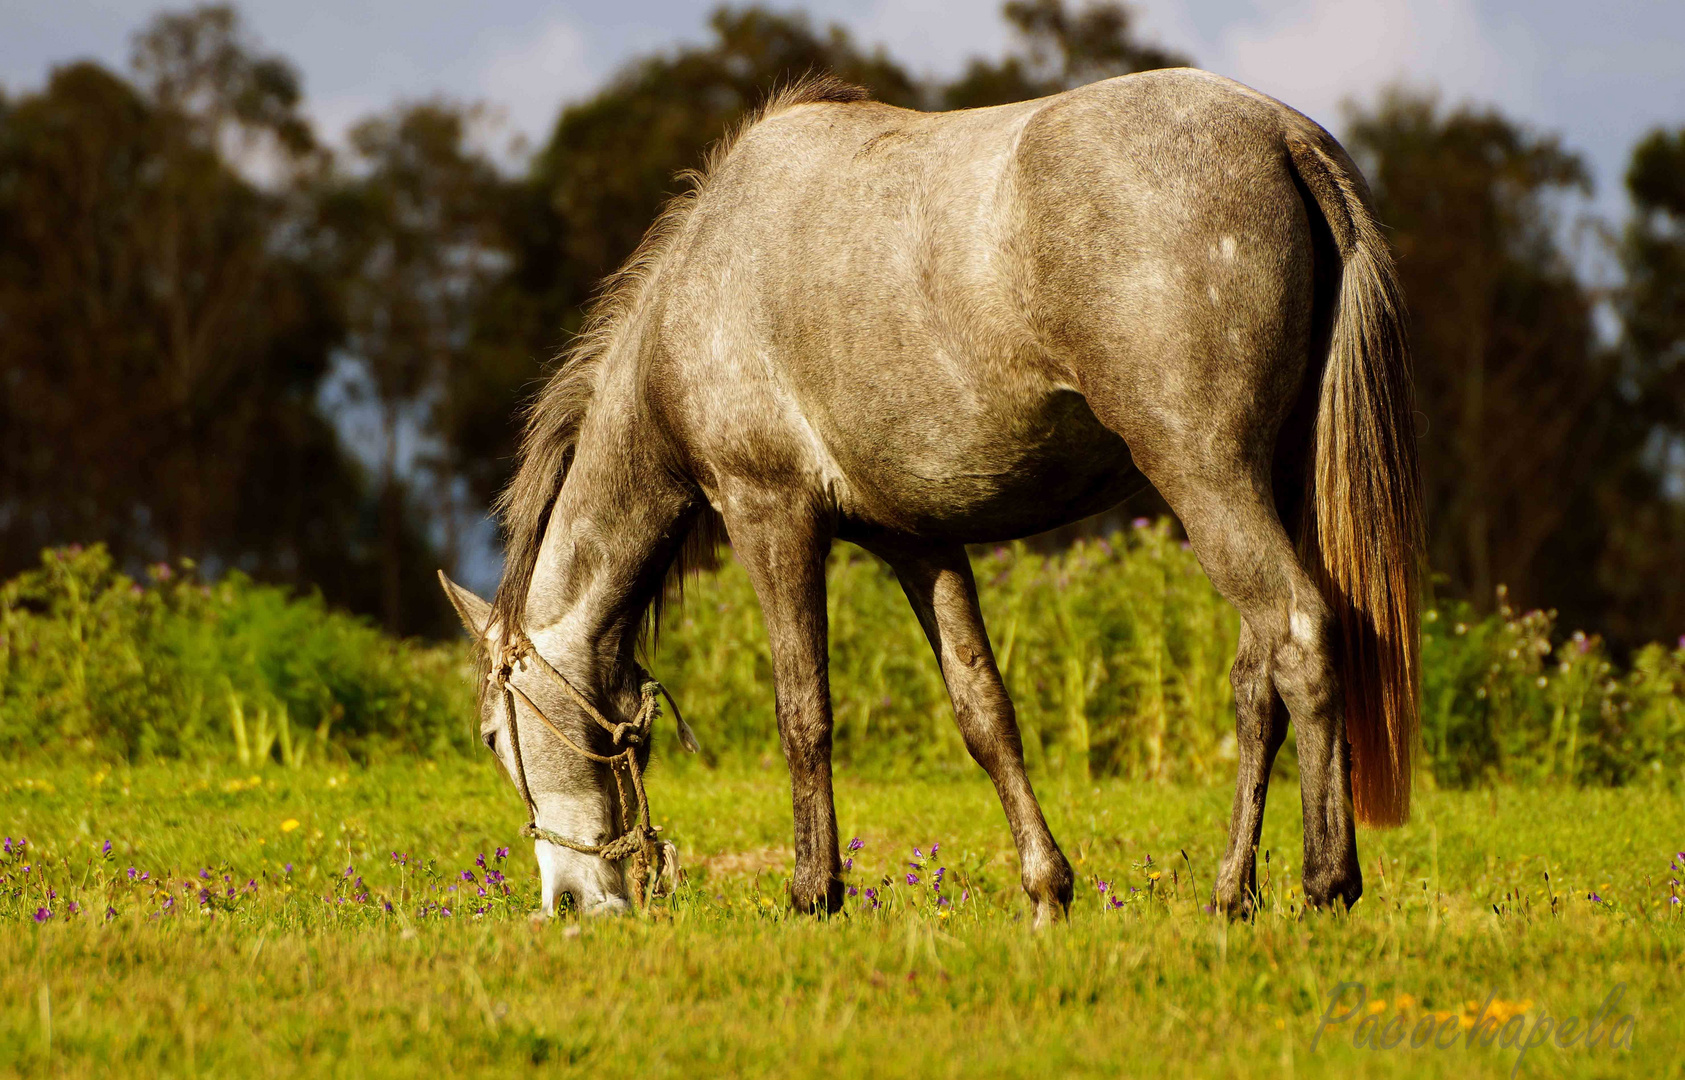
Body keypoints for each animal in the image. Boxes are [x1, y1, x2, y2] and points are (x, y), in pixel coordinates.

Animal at [438, 67, 1422, 923]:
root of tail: (1279, 132)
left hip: (1206, 479)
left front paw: (813, 894)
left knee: (1298, 636)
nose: (571, 902)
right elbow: (984, 714)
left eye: (492, 735)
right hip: (1265, 488)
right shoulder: (920, 544)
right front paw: (1046, 890)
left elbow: (803, 712)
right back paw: (1231, 895)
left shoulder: (770, 517)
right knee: (1257, 681)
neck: (698, 295)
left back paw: (1324, 885)